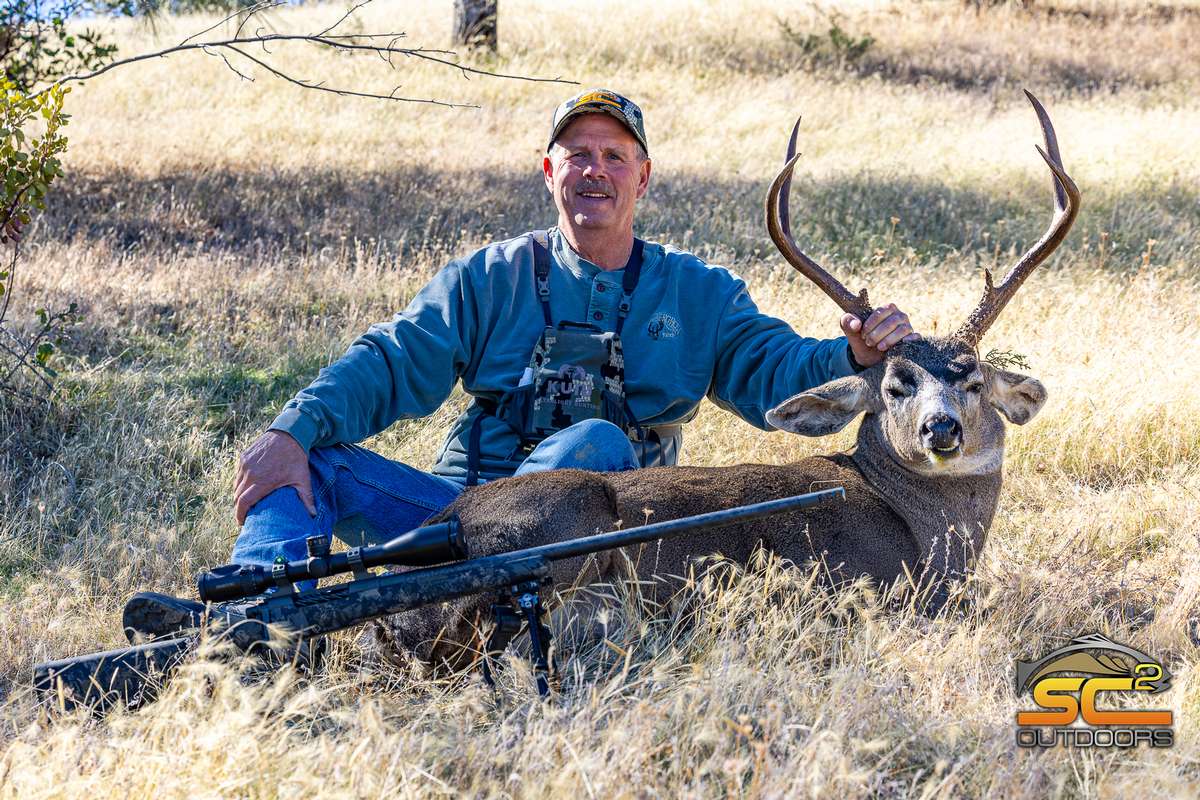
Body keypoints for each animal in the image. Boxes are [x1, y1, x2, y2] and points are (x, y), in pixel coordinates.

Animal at [368, 91, 1080, 670]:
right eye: (894, 386)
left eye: (973, 380)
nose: (942, 428)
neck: (925, 532)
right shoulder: (872, 590)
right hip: (562, 526)